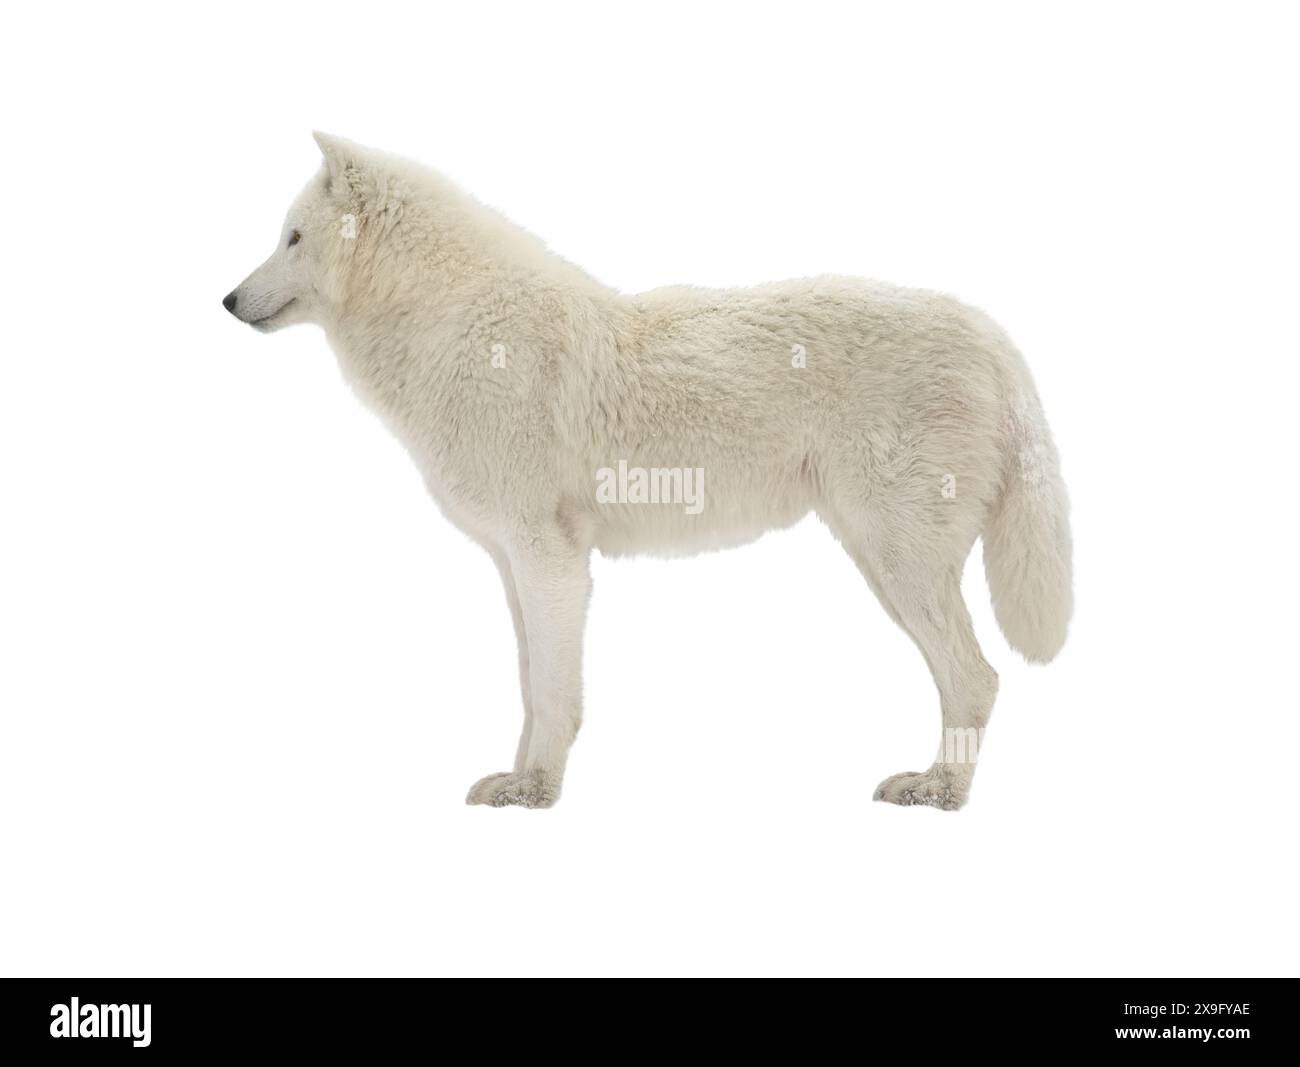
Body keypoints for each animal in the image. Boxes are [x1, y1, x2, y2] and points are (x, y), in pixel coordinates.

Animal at [224, 133, 1072, 811]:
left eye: (292, 237)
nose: (228, 299)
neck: (458, 326)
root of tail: (993, 333)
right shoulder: (517, 563)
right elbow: (532, 686)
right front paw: (519, 778)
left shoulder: (552, 559)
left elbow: (554, 695)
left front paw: (534, 792)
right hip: (881, 561)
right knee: (972, 678)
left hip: (898, 563)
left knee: (977, 678)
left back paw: (940, 791)